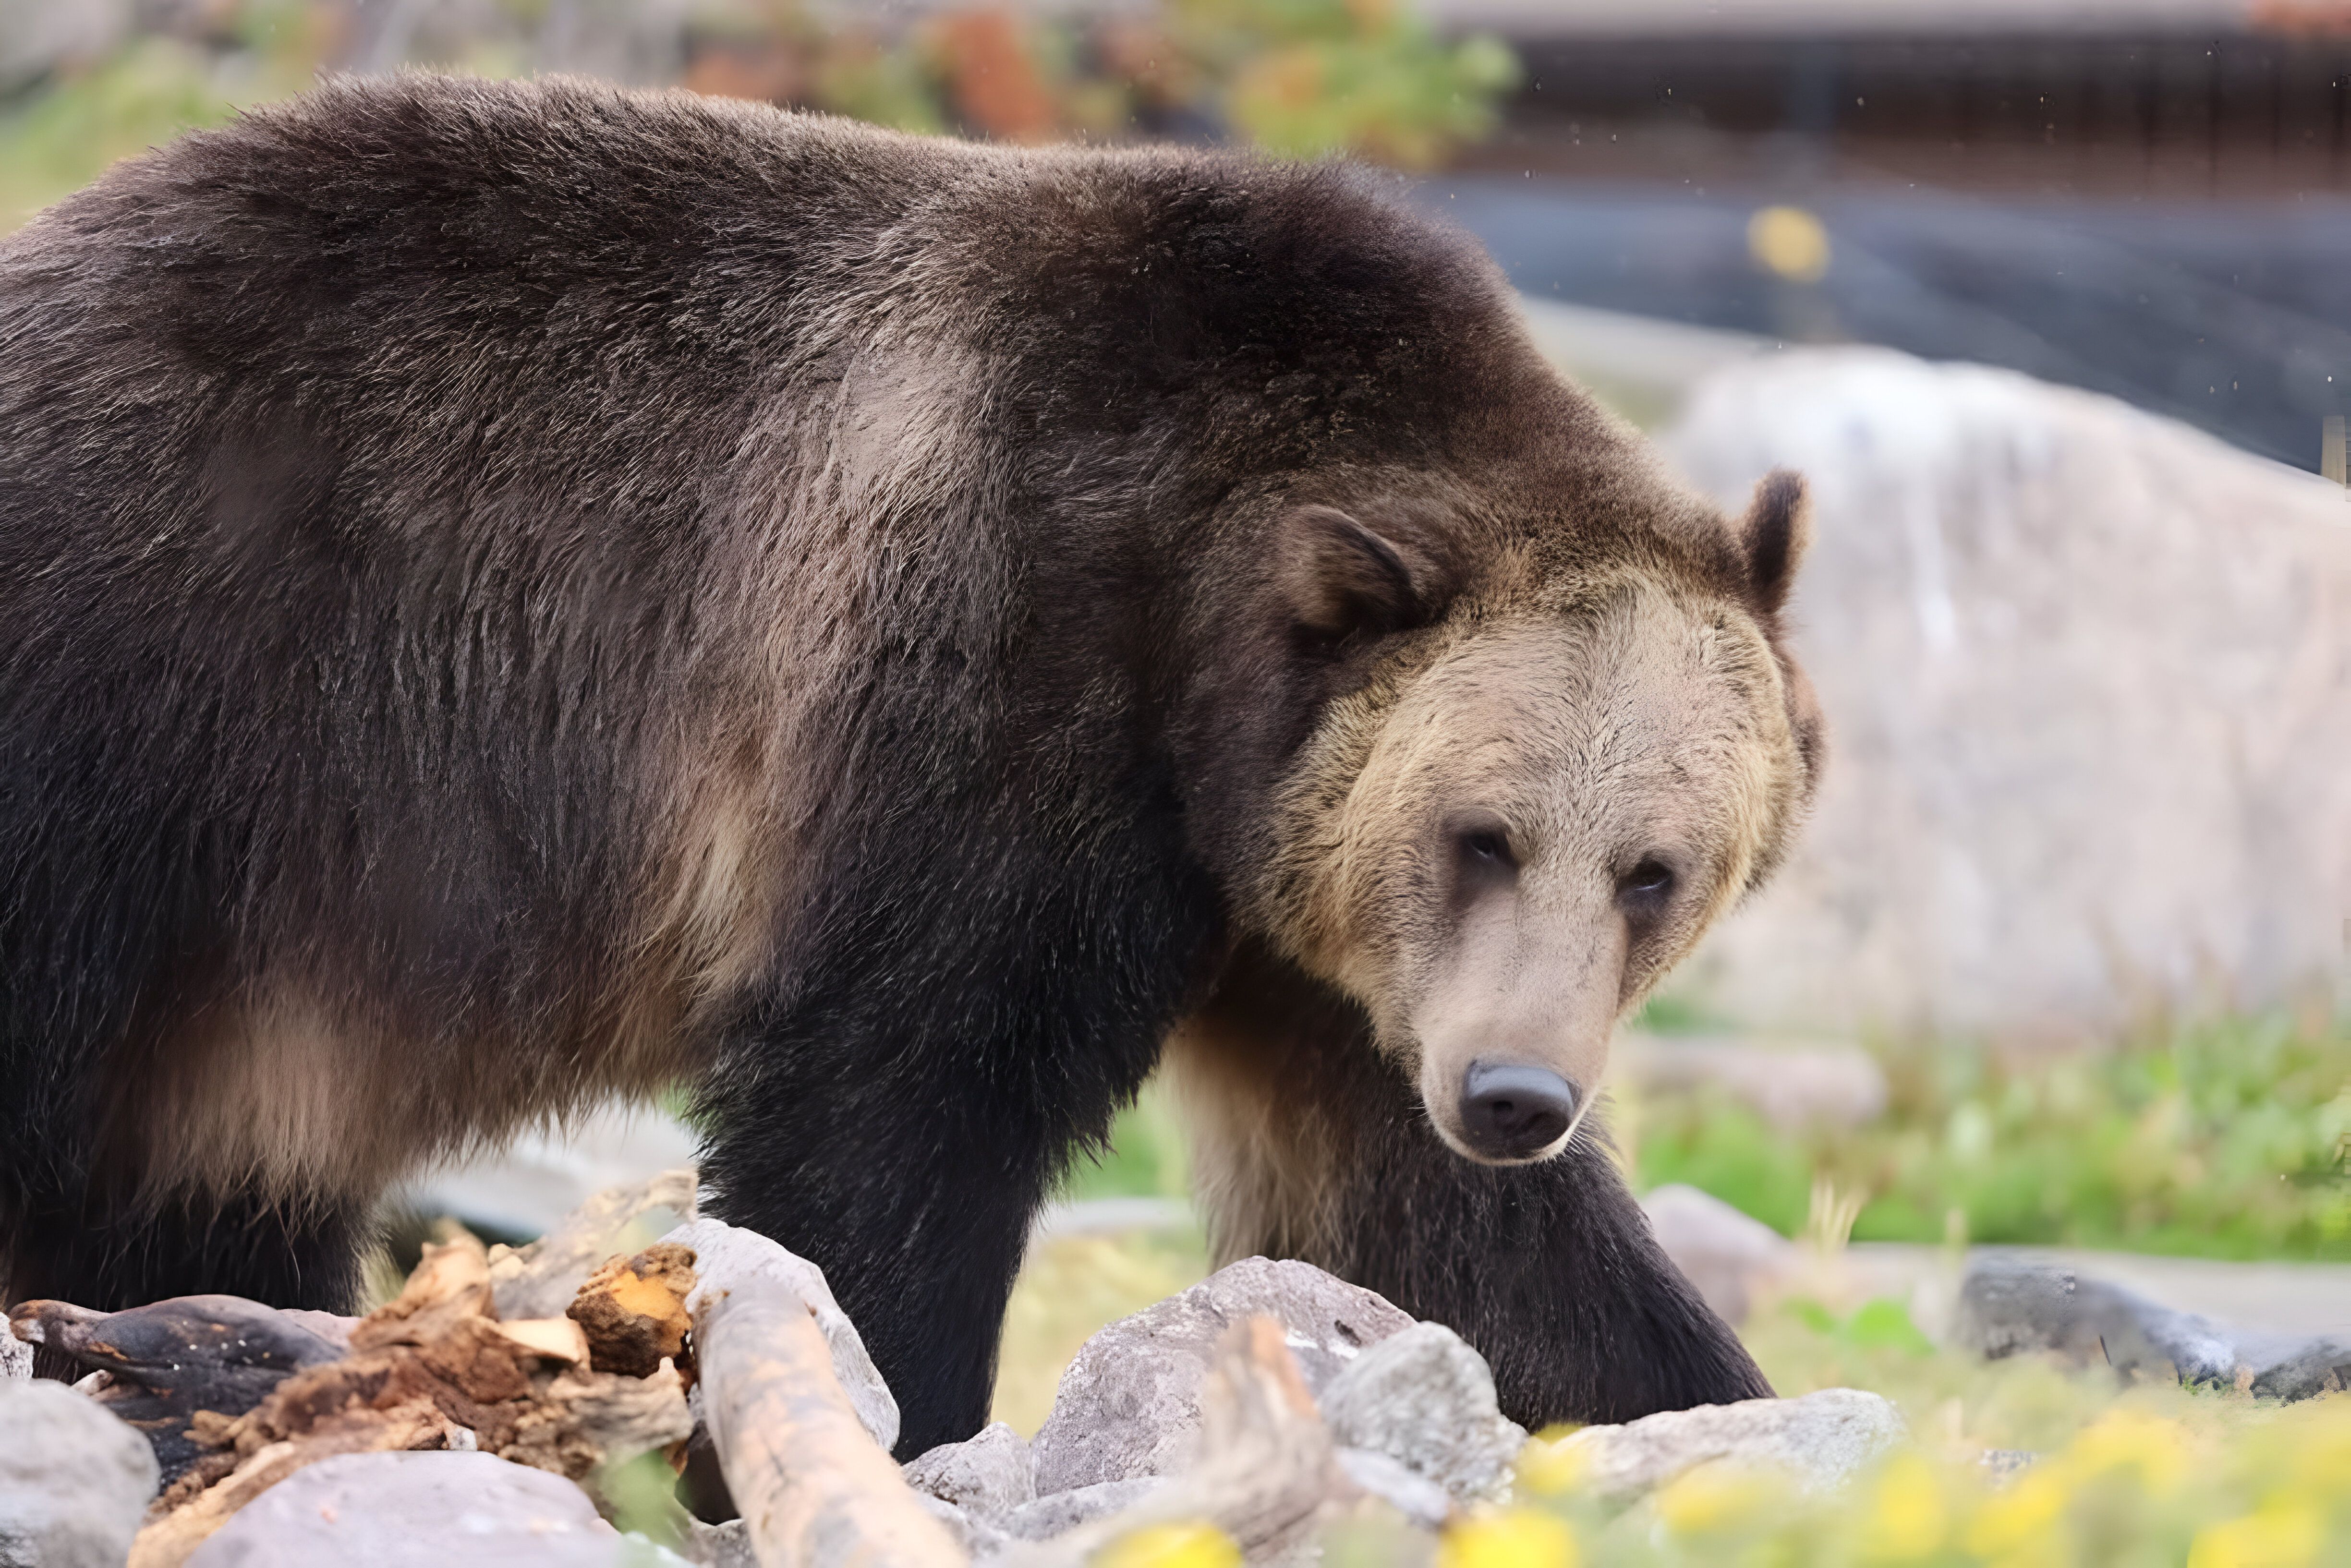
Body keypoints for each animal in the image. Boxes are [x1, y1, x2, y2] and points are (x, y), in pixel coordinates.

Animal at [0, 74, 1820, 1456]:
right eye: (1480, 832)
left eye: (1654, 870)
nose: (1518, 1093)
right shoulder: (1001, 649)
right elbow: (899, 1102)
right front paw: (878, 1413)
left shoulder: (1304, 930)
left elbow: (1447, 1227)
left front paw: (1689, 1406)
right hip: (173, 694)